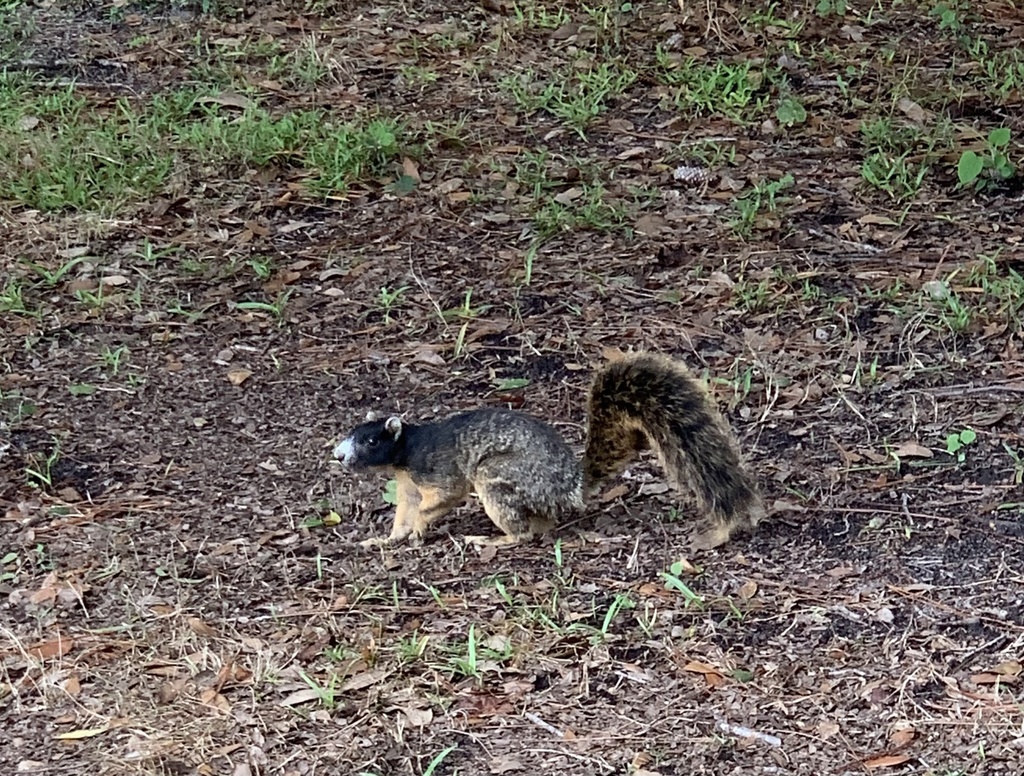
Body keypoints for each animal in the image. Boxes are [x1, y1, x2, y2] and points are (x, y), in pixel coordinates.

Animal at [333, 351, 764, 550]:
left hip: (498, 477)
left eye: (371, 441)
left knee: (524, 532)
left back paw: (493, 541)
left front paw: (422, 527)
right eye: (353, 433)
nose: (340, 455)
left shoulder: (437, 471)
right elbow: (403, 514)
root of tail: (569, 488)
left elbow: (441, 498)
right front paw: (386, 540)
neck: (404, 455)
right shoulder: (407, 486)